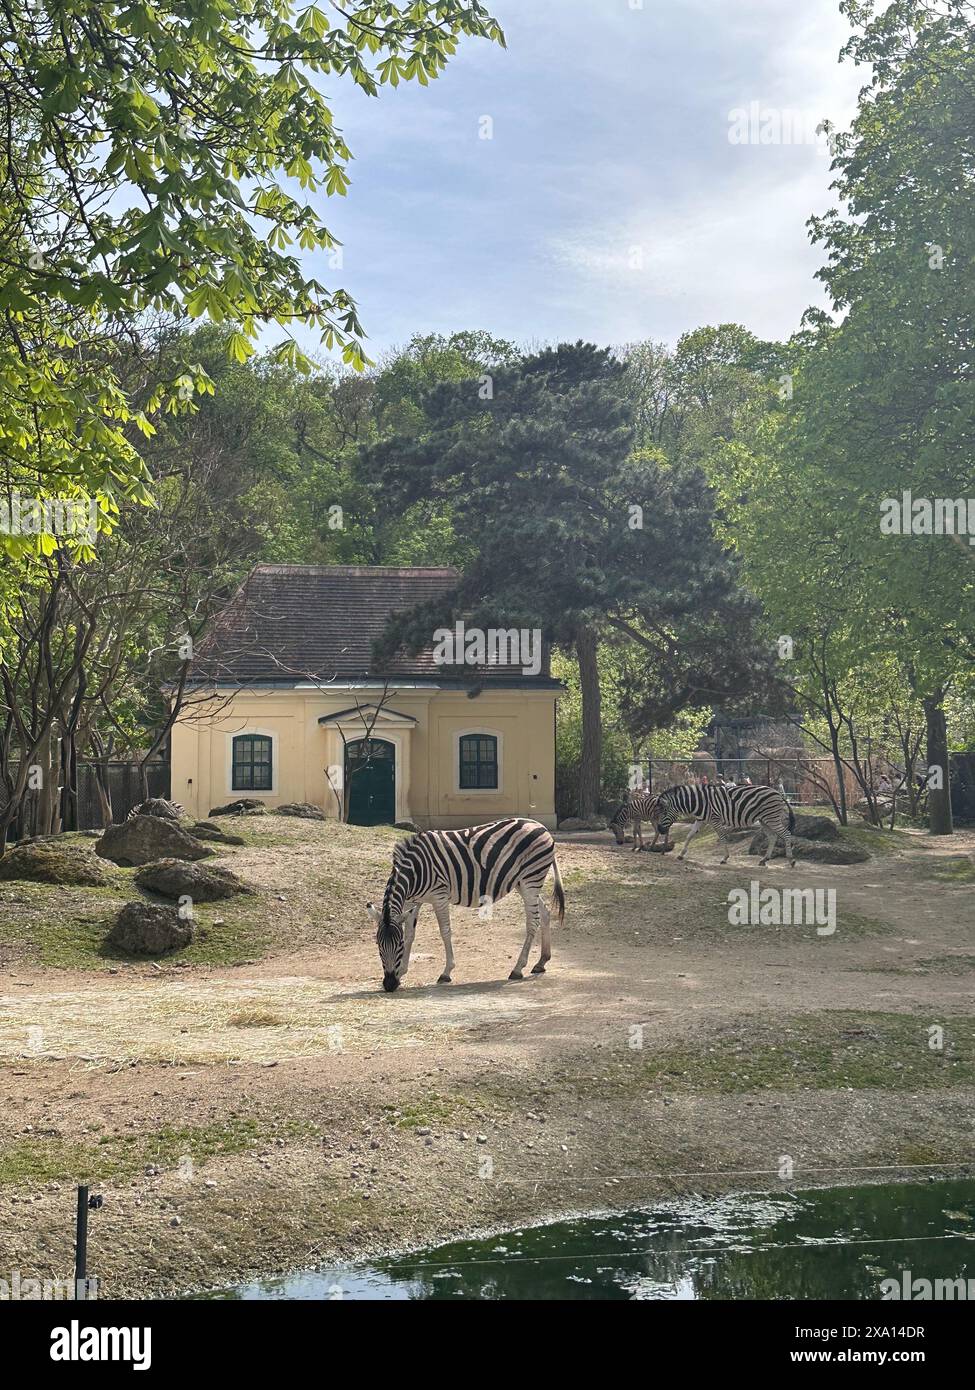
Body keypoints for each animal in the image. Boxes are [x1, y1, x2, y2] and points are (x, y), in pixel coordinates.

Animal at [366, 817, 565, 992]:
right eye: (378, 946)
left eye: (397, 946)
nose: (389, 985)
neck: (415, 872)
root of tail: (540, 826)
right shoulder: (413, 901)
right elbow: (410, 934)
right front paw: (401, 973)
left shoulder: (439, 896)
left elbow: (445, 931)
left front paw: (446, 972)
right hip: (523, 883)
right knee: (544, 913)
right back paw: (541, 962)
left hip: (530, 879)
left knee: (533, 922)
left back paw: (517, 969)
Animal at [648, 783, 796, 867]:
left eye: (664, 812)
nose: (660, 830)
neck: (699, 802)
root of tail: (778, 793)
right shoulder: (701, 819)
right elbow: (690, 835)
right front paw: (681, 854)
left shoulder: (715, 819)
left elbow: (722, 837)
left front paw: (725, 858)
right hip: (764, 820)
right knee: (773, 837)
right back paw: (764, 860)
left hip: (771, 817)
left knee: (786, 834)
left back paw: (791, 860)